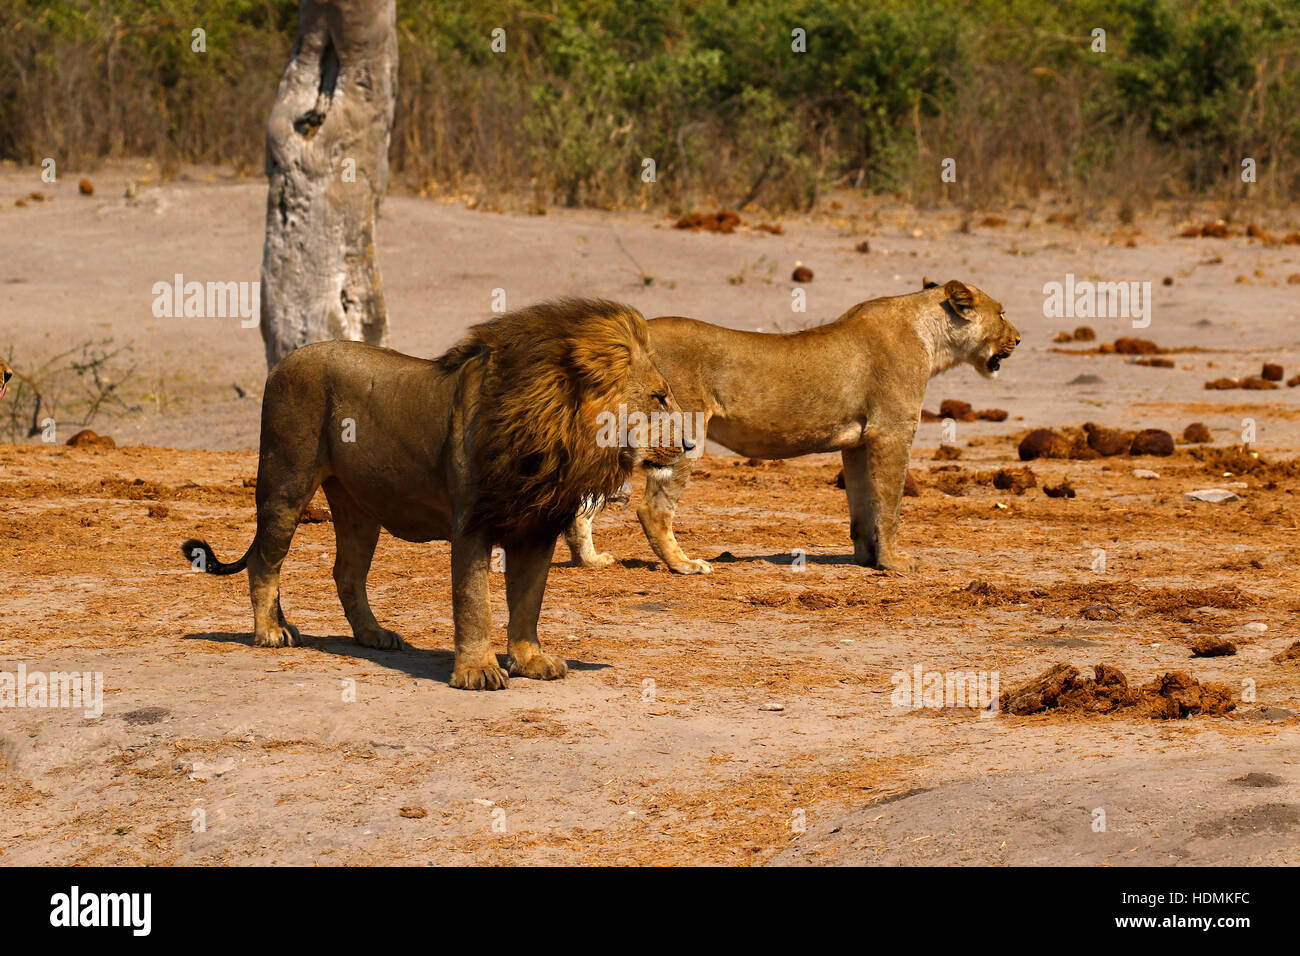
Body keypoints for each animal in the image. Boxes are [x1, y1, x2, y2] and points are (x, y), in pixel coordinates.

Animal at [181, 299, 687, 690]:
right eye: (660, 397)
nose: (688, 444)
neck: (558, 431)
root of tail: (285, 361)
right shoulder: (473, 525)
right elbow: (474, 602)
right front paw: (477, 672)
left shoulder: (535, 530)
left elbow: (528, 603)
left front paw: (530, 661)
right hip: (285, 482)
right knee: (265, 561)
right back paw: (271, 631)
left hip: (359, 507)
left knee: (346, 572)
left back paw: (374, 635)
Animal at [565, 279, 1019, 574]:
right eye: (1001, 313)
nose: (1018, 339)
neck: (930, 336)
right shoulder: (892, 432)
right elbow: (889, 504)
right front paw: (895, 563)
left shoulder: (858, 443)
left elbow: (862, 506)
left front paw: (867, 559)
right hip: (681, 431)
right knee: (653, 508)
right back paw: (686, 565)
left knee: (583, 504)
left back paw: (591, 561)